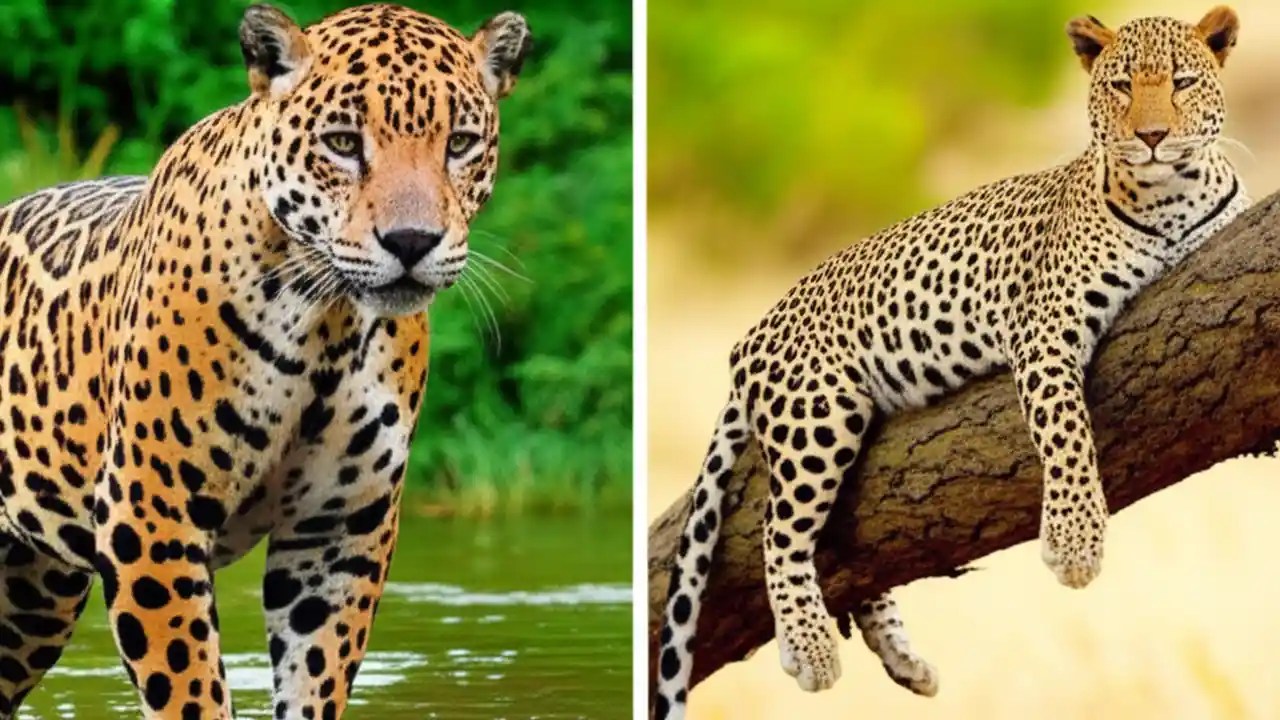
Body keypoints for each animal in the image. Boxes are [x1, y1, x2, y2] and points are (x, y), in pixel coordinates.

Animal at [0, 3, 530, 718]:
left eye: (461, 144)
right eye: (342, 142)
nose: (412, 242)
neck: (325, 324)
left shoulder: (337, 532)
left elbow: (315, 677)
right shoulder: (153, 515)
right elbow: (190, 688)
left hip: (34, 597)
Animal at [654, 7, 1246, 718]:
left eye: (1183, 82)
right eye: (1122, 87)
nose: (1153, 136)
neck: (1171, 199)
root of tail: (749, 339)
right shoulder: (1045, 330)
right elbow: (1067, 433)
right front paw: (1075, 543)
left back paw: (903, 658)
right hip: (818, 413)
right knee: (779, 530)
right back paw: (812, 649)